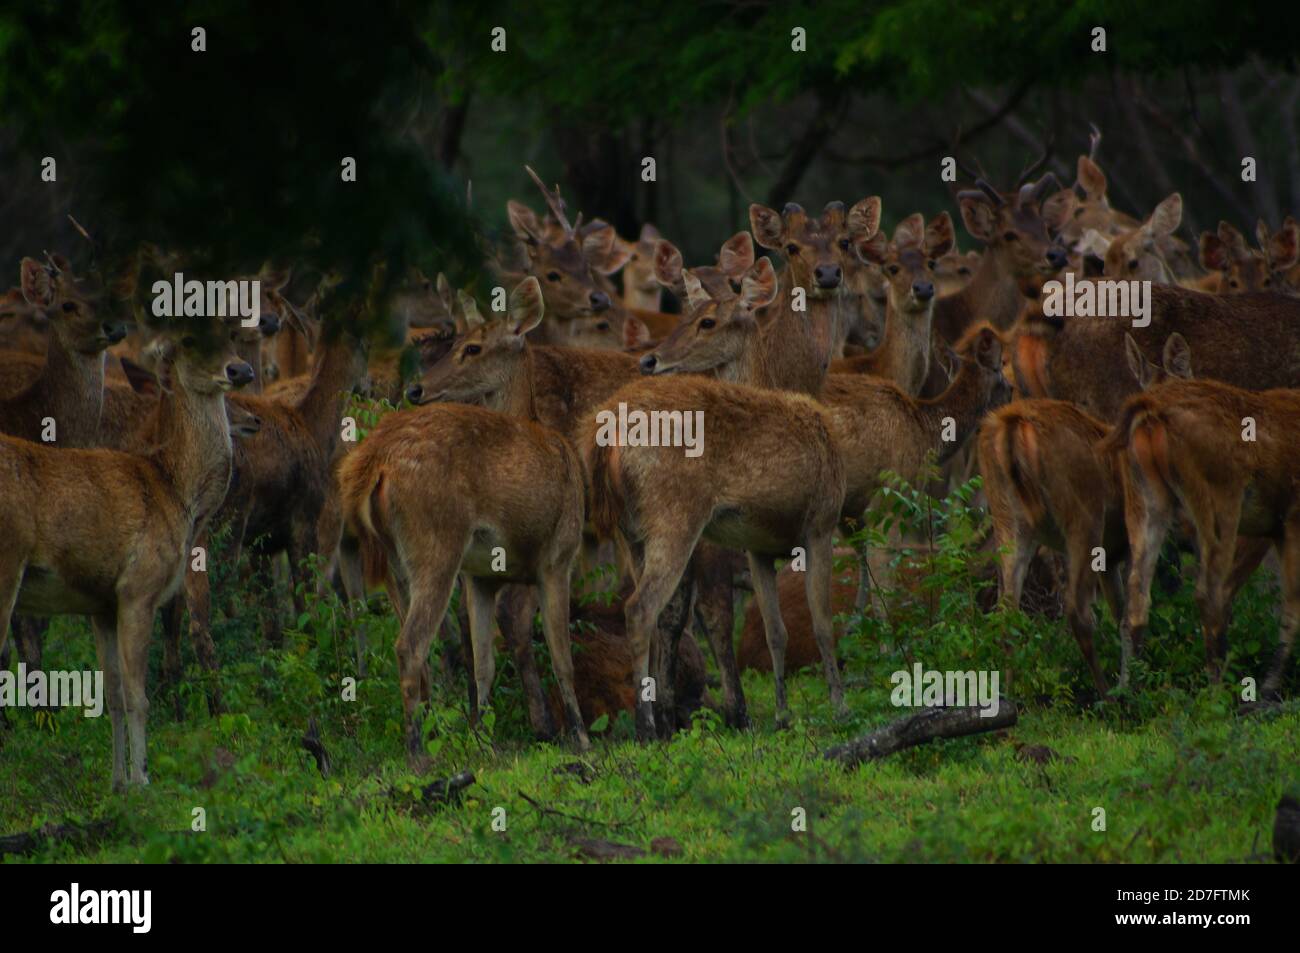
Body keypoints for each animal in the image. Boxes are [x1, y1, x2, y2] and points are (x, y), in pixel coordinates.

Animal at [0, 316, 253, 788]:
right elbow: (139, 696)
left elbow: (113, 694)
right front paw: (143, 780)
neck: (176, 490)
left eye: (231, 332)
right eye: (188, 339)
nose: (240, 370)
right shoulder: (139, 587)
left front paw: (117, 782)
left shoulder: (101, 603)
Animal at [338, 276, 591, 763]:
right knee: (410, 644)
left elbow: (484, 664)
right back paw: (417, 751)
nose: (416, 389)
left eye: (472, 348)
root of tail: (372, 464)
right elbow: (562, 657)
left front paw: (483, 738)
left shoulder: (482, 576)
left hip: (394, 560)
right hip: (437, 541)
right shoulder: (559, 554)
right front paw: (582, 738)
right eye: (454, 343)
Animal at [978, 332, 1192, 694]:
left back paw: (1009, 692)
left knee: (1006, 613)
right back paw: (1105, 693)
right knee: (1077, 611)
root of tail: (1015, 426)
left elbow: (1119, 611)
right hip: (1082, 514)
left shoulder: (1112, 555)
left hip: (1007, 519)